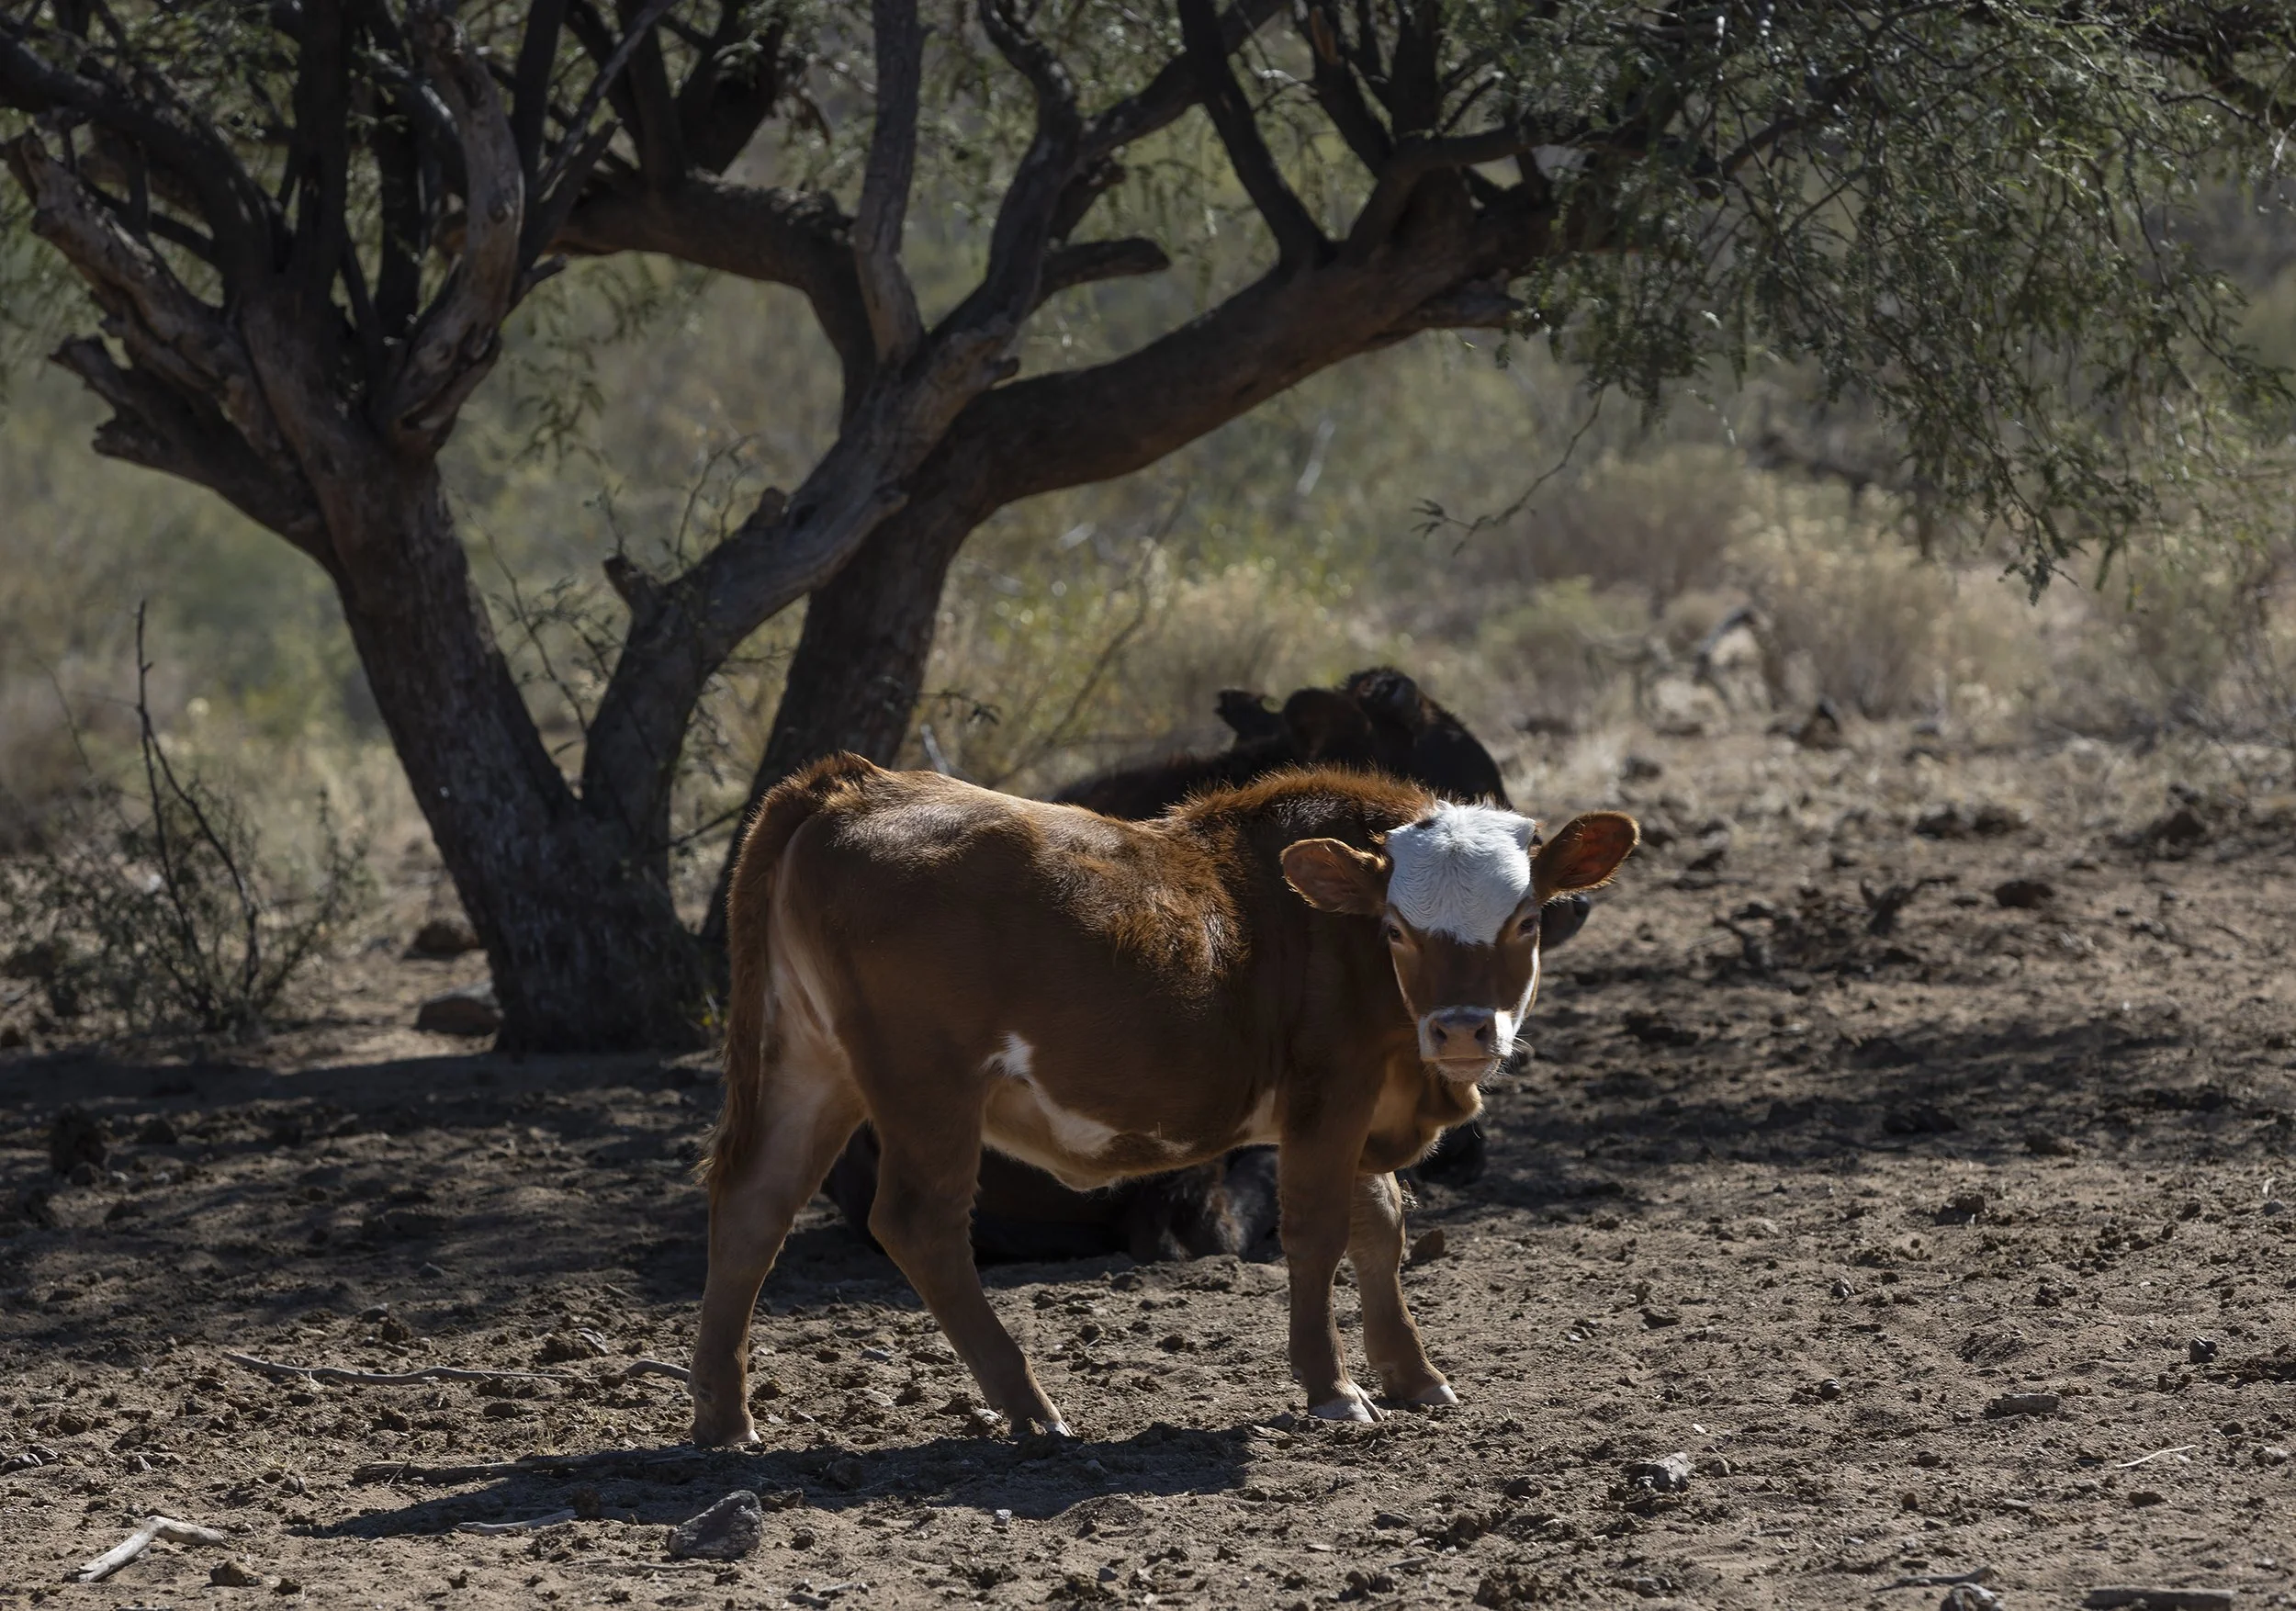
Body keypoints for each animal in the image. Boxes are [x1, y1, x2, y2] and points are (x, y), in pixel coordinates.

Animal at [691, 755, 1636, 1443]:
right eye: (1398, 929)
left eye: (1526, 920)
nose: (1463, 1029)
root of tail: (851, 785)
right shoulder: (1329, 1090)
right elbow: (1319, 1229)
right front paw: (1333, 1388)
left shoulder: (1366, 1104)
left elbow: (1382, 1226)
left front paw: (1413, 1375)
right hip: (927, 1084)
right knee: (919, 1223)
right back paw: (1032, 1408)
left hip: (810, 1063)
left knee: (753, 1207)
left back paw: (723, 1419)